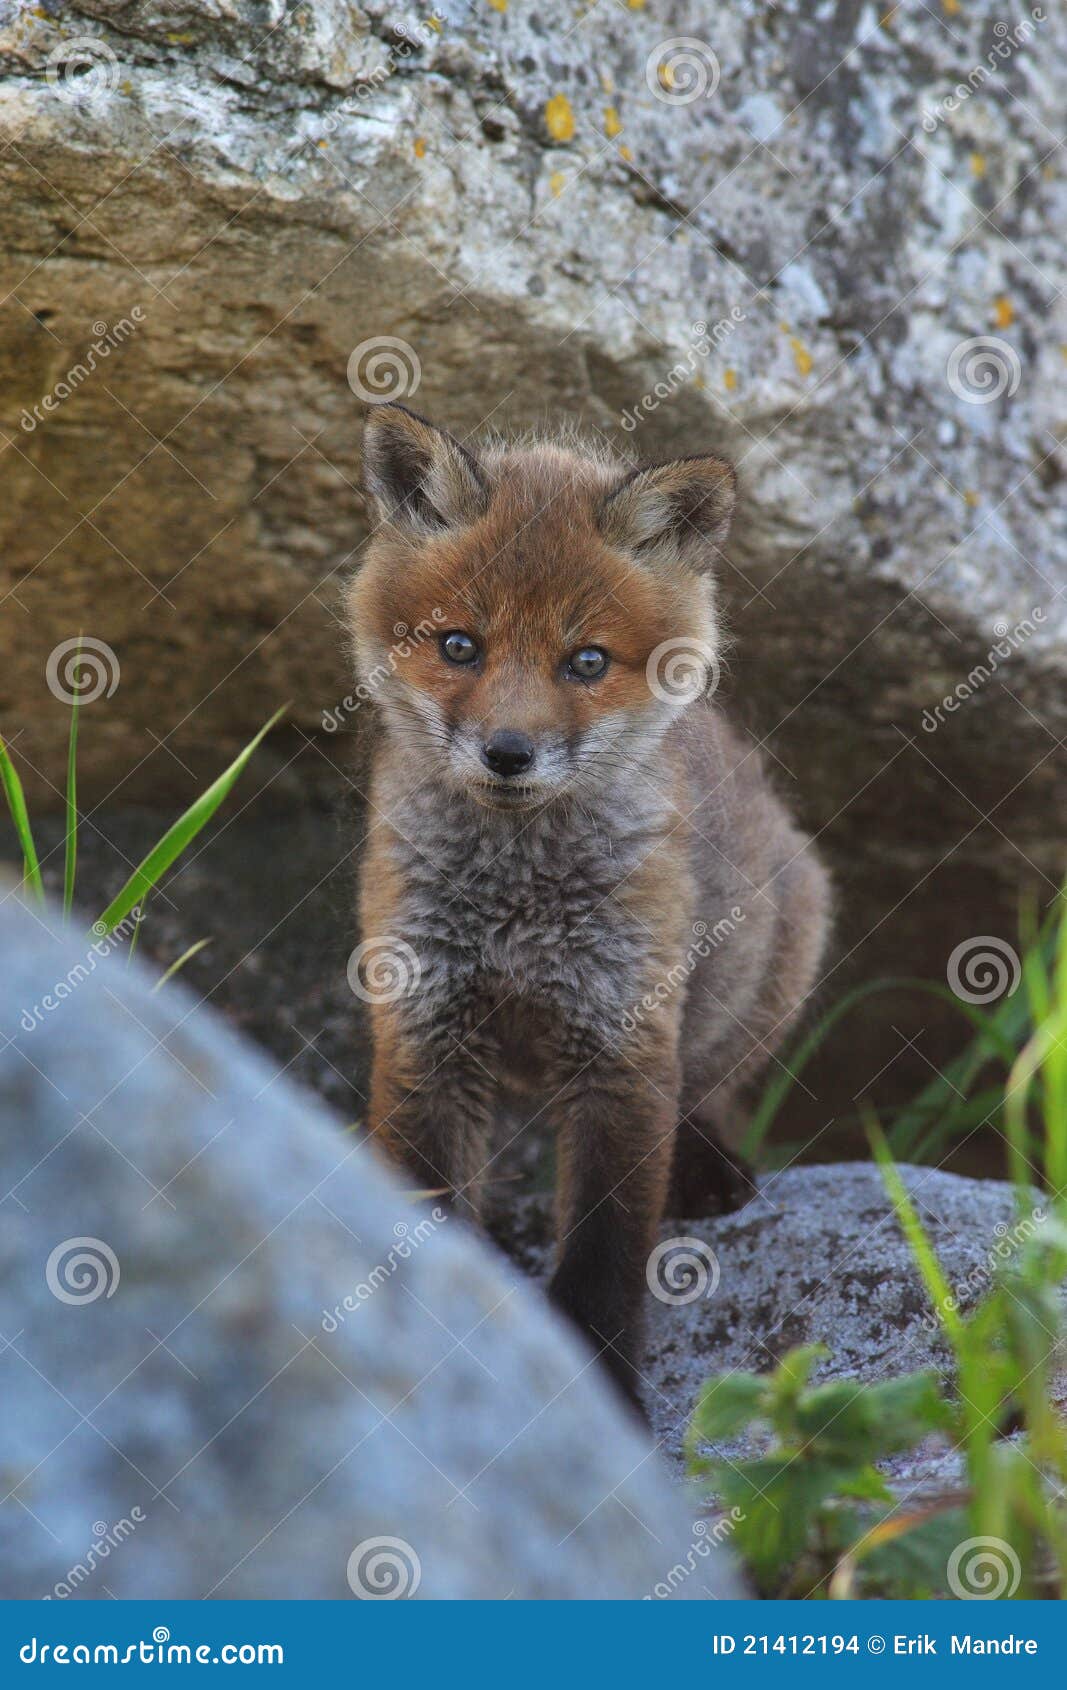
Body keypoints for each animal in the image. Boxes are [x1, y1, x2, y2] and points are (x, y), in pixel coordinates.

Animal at [345, 402, 831, 1414]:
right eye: (459, 646)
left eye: (586, 662)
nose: (508, 753)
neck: (515, 913)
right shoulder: (424, 1030)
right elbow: (427, 1212)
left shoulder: (623, 1043)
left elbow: (605, 1255)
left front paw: (604, 1393)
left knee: (711, 1089)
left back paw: (708, 1166)